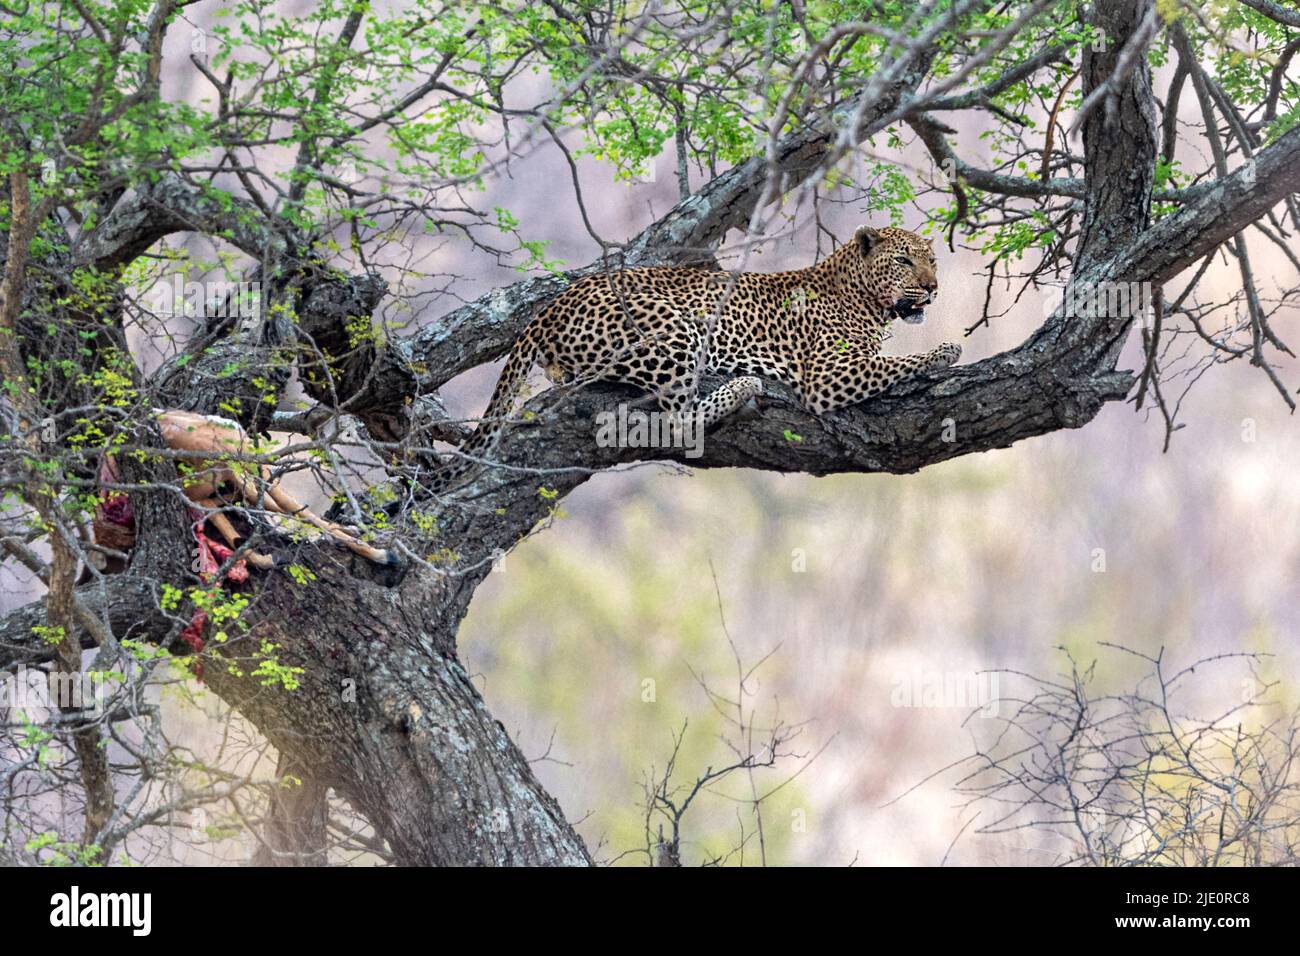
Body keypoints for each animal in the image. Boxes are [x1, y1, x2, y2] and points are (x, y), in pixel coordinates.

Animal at [438, 224, 960, 487]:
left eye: (933, 261)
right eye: (904, 261)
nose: (934, 288)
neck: (863, 295)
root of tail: (549, 307)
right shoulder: (829, 376)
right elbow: (898, 363)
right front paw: (947, 350)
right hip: (675, 328)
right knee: (678, 421)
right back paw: (743, 384)